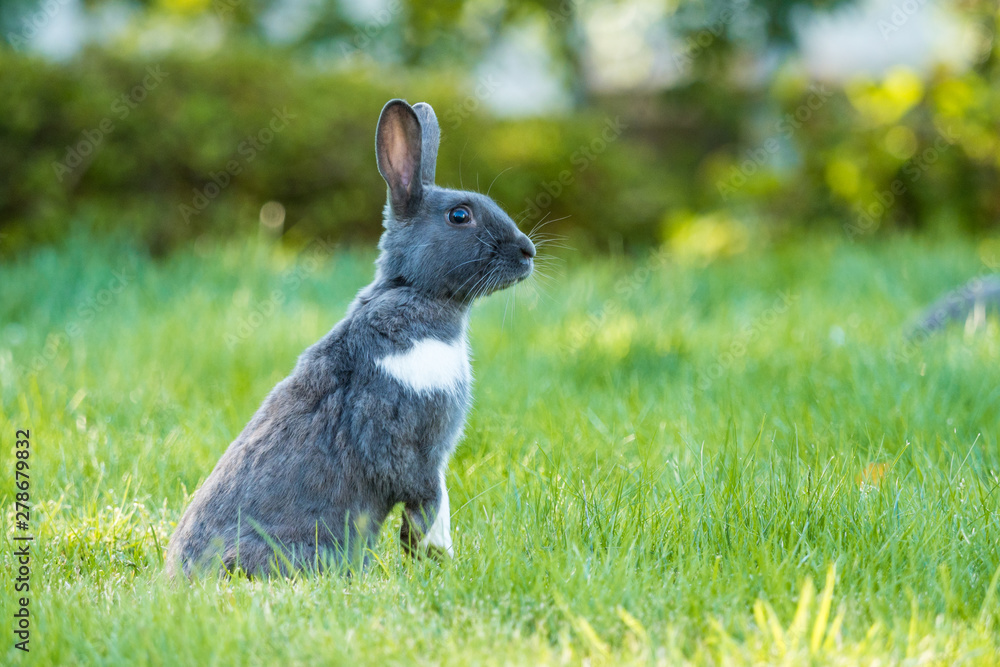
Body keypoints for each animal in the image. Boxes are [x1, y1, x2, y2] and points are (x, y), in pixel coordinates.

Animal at [165, 99, 536, 578]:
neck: (411, 290)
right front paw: (435, 558)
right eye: (460, 215)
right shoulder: (409, 444)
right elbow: (430, 501)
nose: (528, 252)